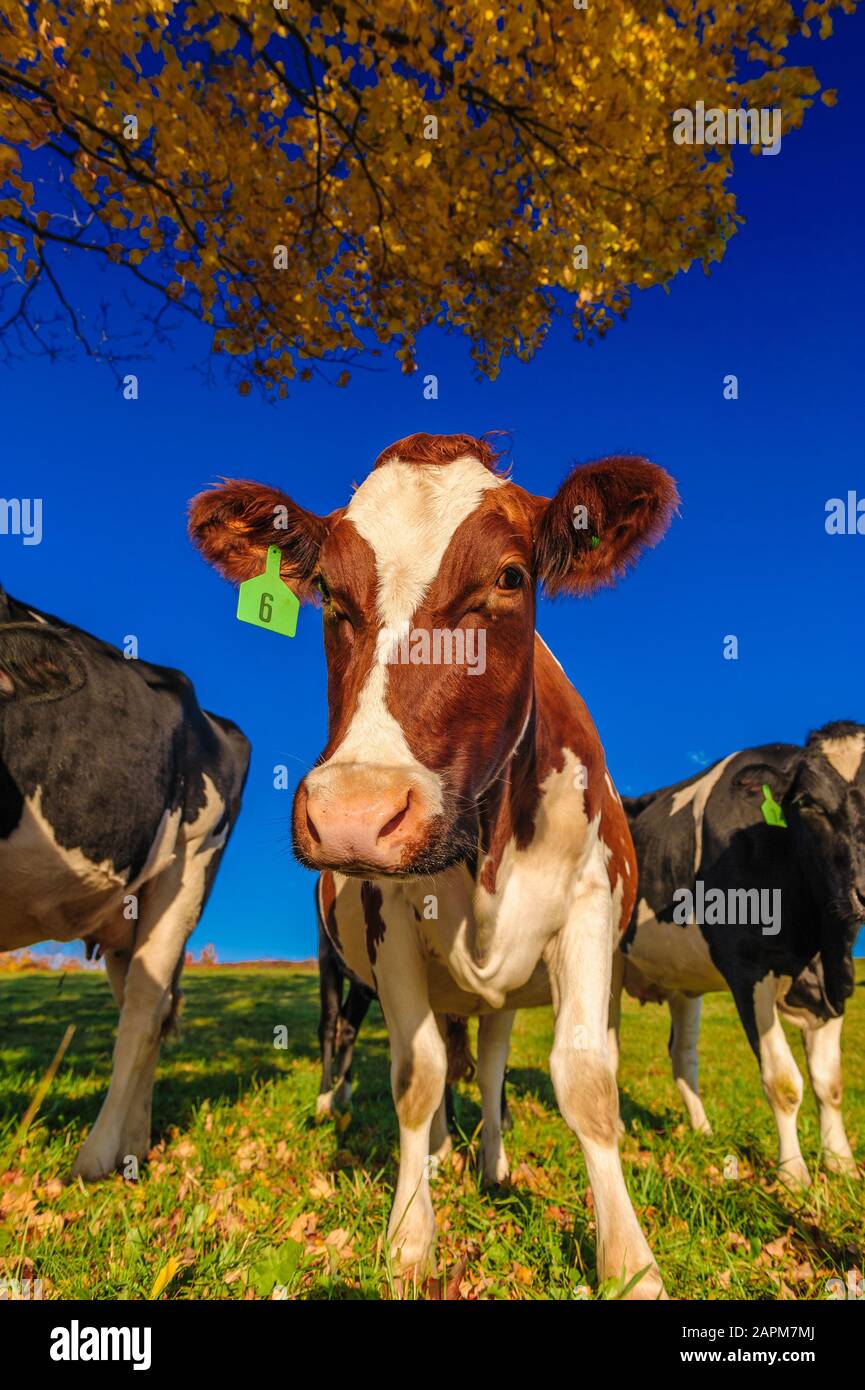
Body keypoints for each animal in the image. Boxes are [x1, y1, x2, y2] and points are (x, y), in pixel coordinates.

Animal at [0, 587, 250, 1179]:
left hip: (188, 869)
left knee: (142, 1009)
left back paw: (95, 1156)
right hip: (125, 913)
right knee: (150, 1004)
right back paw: (133, 1144)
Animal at [189, 430, 677, 1297]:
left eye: (510, 577)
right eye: (325, 590)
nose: (354, 814)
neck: (482, 849)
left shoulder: (588, 907)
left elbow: (584, 1081)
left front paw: (629, 1262)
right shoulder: (388, 921)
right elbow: (414, 1076)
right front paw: (409, 1239)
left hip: (500, 988)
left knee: (482, 1062)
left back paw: (486, 1161)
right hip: (335, 963)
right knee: (345, 1031)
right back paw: (350, 1114)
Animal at [614, 723, 865, 1188]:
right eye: (808, 804)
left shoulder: (832, 981)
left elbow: (830, 1081)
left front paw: (841, 1163)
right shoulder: (747, 968)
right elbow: (783, 1081)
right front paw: (793, 1175)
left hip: (682, 981)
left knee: (682, 1055)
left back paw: (702, 1130)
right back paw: (619, 1129)